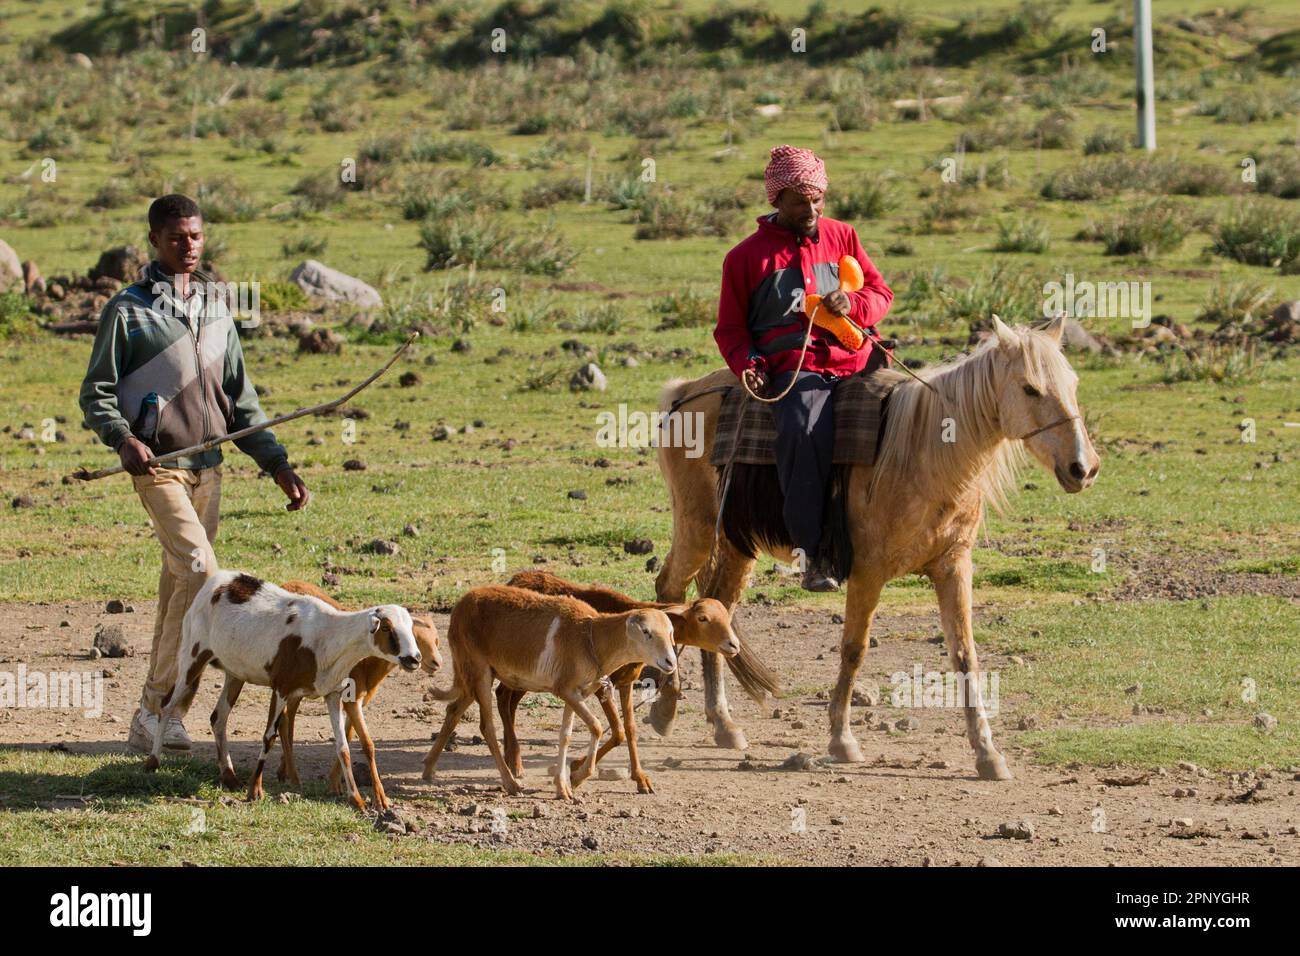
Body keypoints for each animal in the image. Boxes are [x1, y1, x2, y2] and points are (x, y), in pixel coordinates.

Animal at [649, 315, 1100, 779]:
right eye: (1030, 388)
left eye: (1072, 384)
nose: (1083, 468)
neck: (923, 452)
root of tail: (684, 392)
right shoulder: (869, 570)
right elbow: (854, 650)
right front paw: (842, 739)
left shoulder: (954, 566)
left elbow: (965, 655)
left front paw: (988, 753)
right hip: (697, 528)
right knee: (670, 591)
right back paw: (666, 709)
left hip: (736, 546)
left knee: (714, 607)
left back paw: (724, 725)